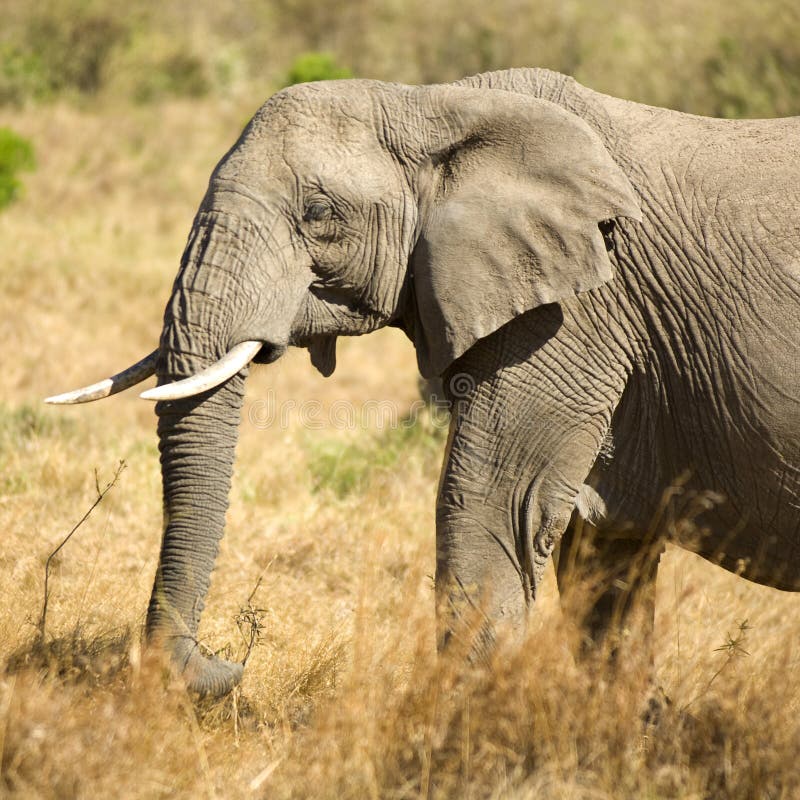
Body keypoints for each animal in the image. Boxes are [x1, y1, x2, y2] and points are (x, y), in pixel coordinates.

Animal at [47, 67, 800, 696]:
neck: (432, 106)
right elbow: (604, 559)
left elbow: (491, 507)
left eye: (319, 215)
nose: (226, 666)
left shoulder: (575, 313)